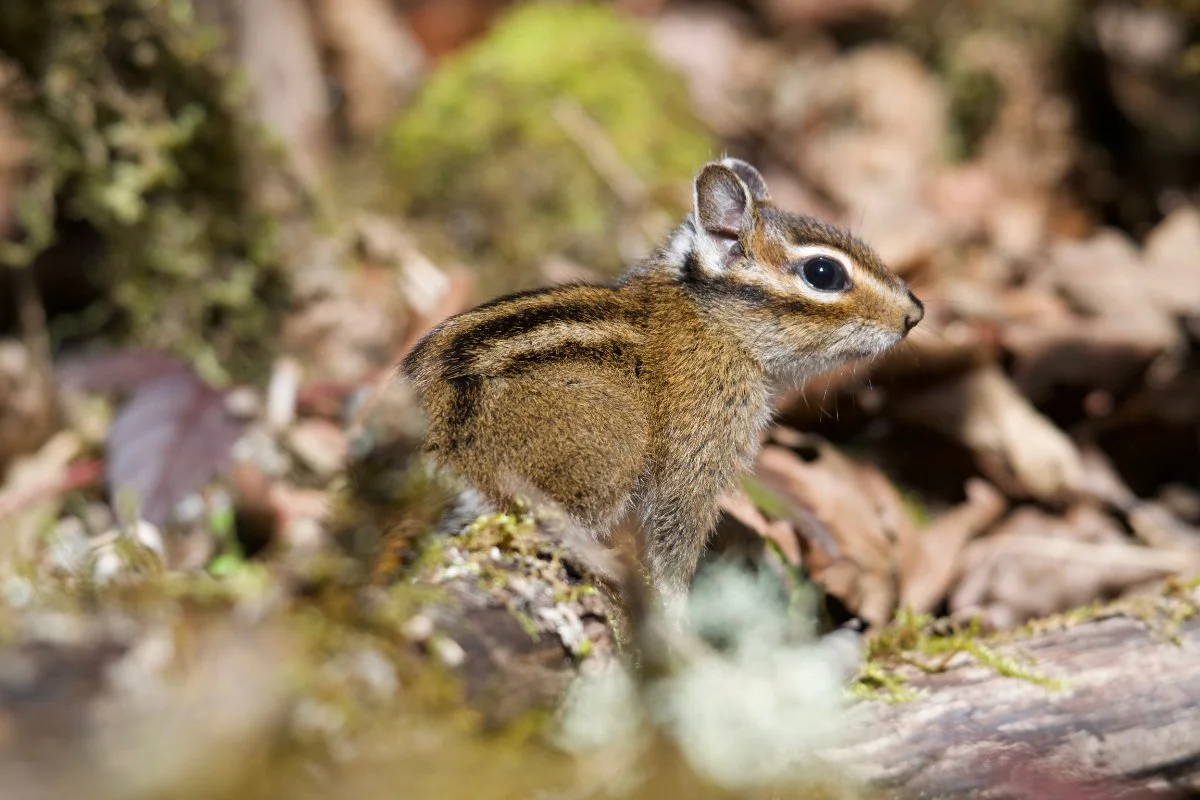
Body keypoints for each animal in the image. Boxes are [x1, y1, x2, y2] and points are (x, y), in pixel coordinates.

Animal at [402, 158, 923, 615]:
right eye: (823, 273)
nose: (915, 313)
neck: (709, 316)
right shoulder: (696, 462)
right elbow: (674, 549)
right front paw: (677, 621)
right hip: (607, 455)